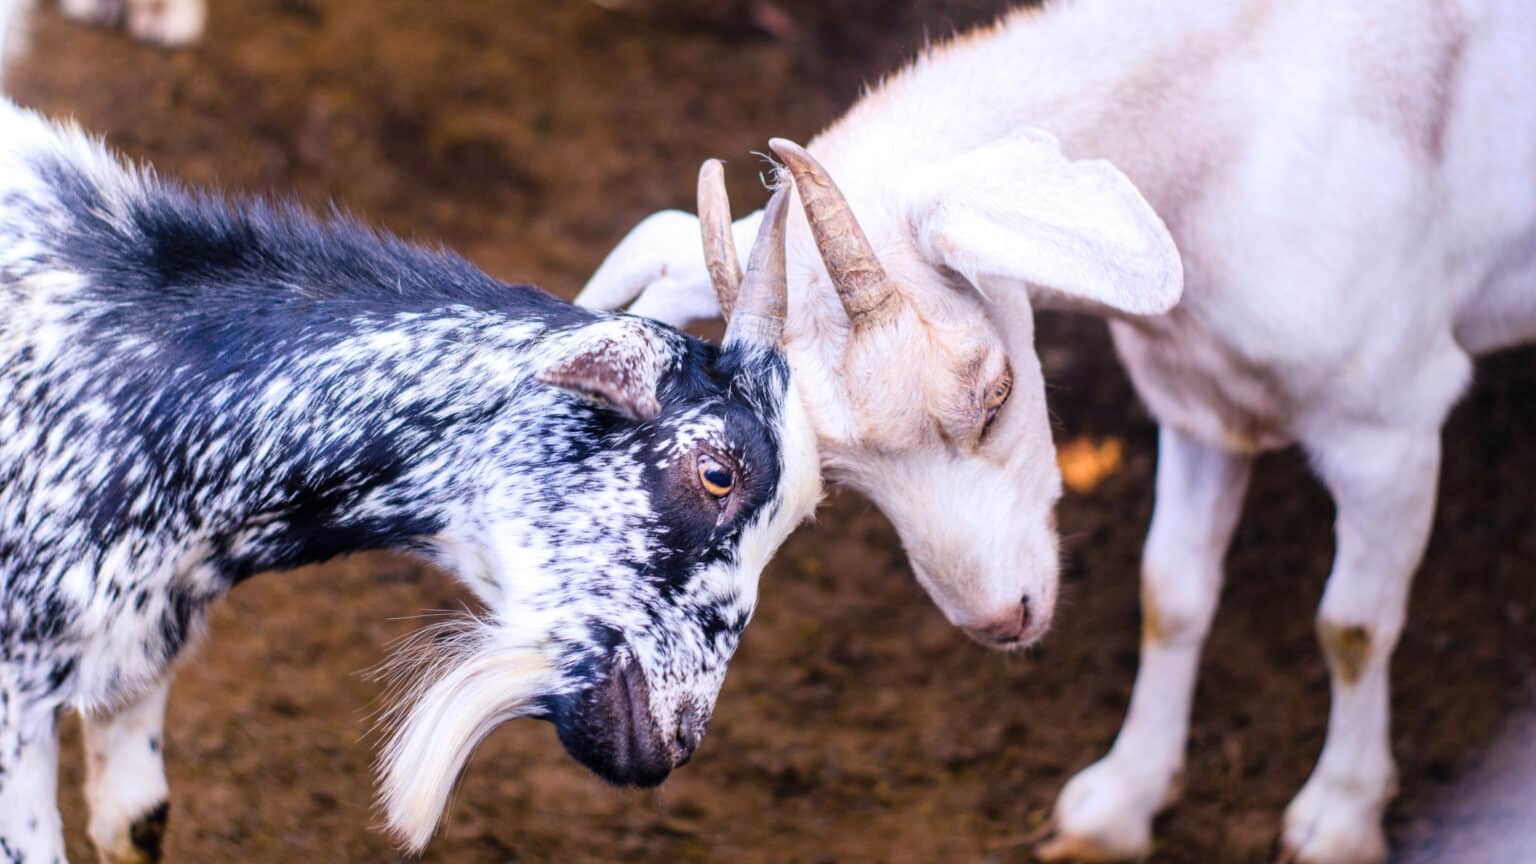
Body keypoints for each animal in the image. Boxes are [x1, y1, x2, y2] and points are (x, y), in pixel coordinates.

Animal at [577, 1, 1536, 861]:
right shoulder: (1199, 403)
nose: (1002, 620)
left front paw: (1338, 819)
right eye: (838, 481)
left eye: (998, 394)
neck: (1229, 138)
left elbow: (1353, 627)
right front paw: (1120, 804)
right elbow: (1171, 594)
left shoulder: (1390, 422)